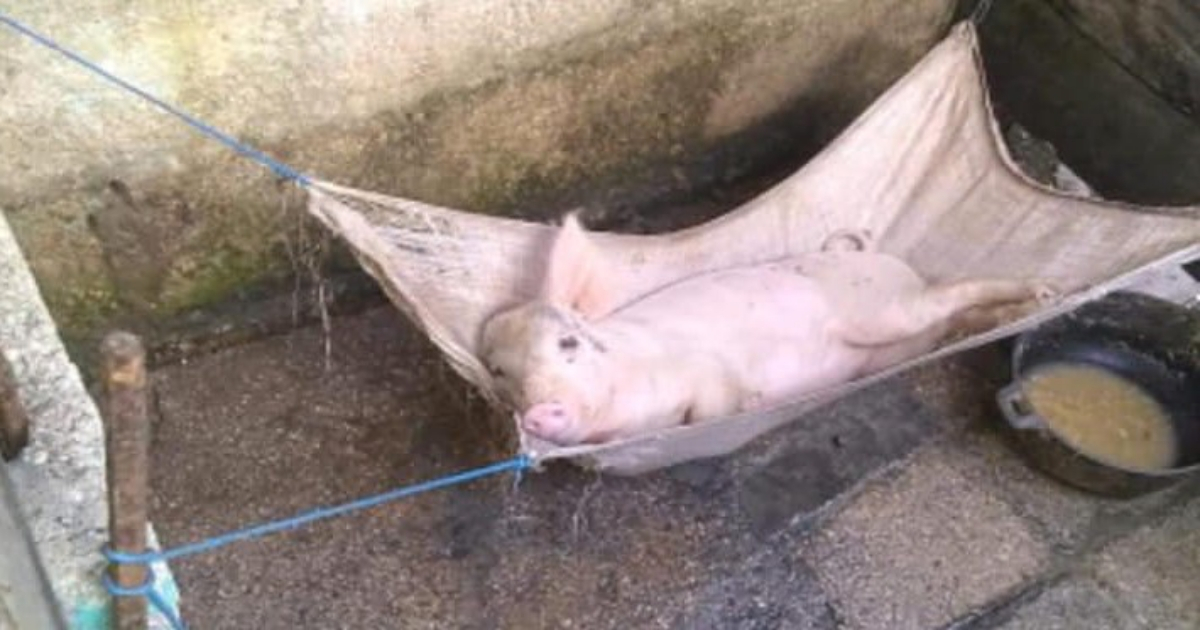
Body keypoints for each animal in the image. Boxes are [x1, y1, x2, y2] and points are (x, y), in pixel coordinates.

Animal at [479, 215, 1054, 446]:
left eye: (568, 342)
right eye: (499, 373)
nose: (540, 411)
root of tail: (880, 260)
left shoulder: (702, 370)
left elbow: (713, 404)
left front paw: (751, 403)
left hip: (882, 310)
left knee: (953, 293)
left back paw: (1043, 295)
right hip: (899, 342)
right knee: (954, 321)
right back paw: (1015, 314)